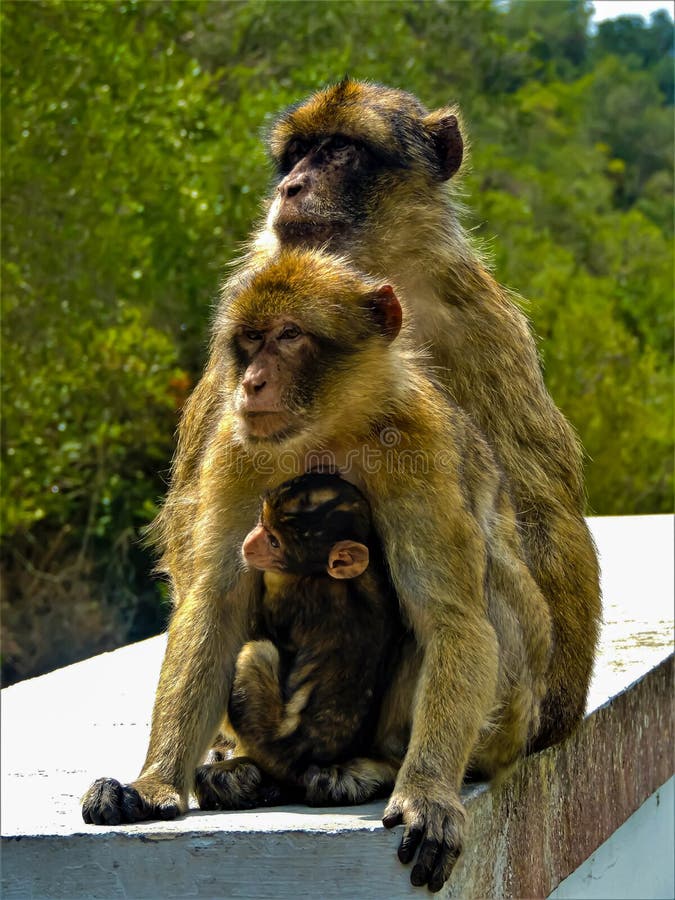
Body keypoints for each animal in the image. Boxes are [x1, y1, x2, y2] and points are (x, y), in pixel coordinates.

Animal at [195, 471, 403, 811]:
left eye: (274, 542)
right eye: (263, 522)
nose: (250, 543)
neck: (322, 575)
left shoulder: (282, 586)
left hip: (270, 745)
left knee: (256, 653)